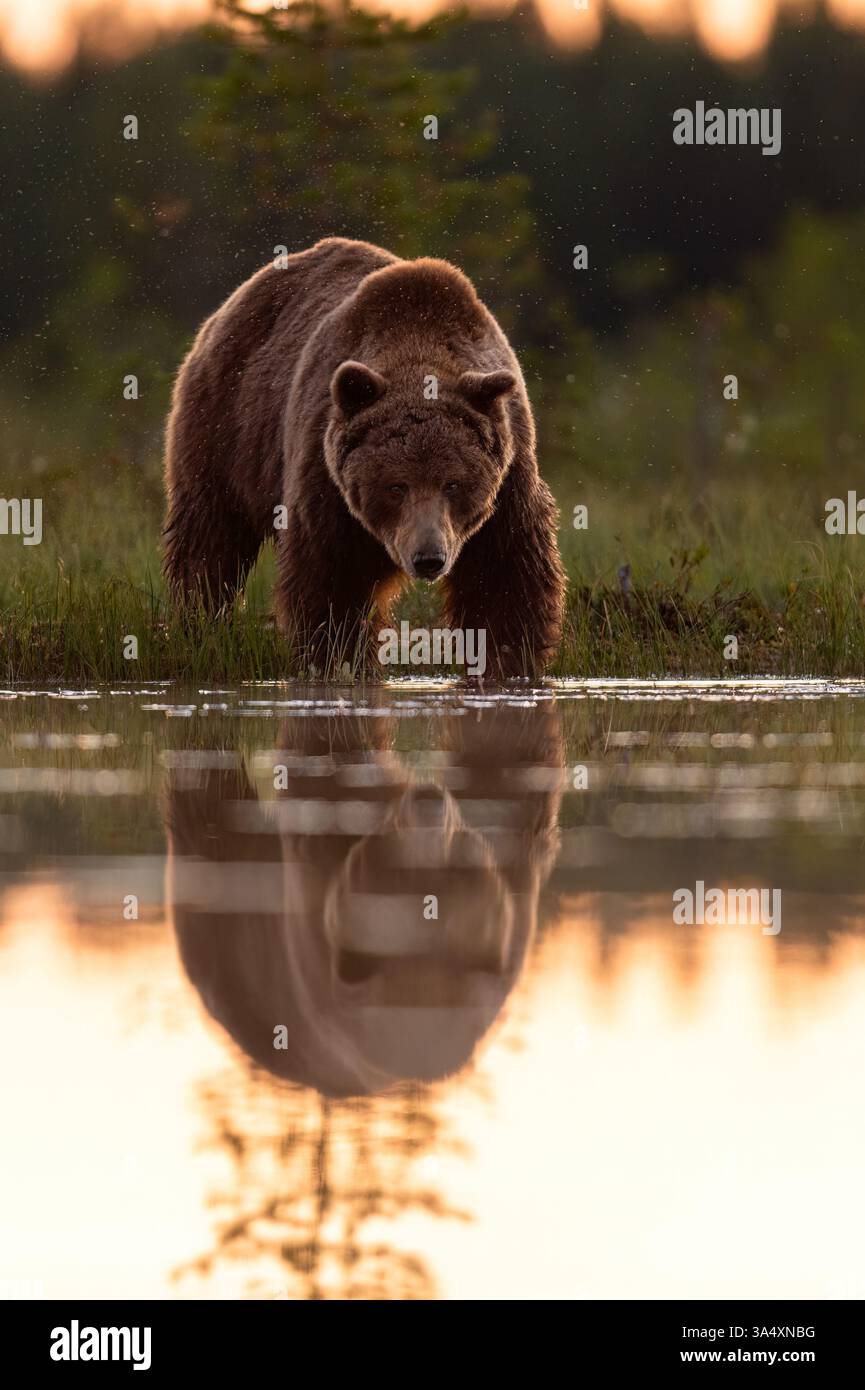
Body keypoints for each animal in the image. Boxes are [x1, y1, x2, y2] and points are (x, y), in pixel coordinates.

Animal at [163, 236, 565, 678]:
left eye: (454, 484)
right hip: (226, 425)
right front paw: (341, 662)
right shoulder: (327, 483)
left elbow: (505, 579)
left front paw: (507, 662)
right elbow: (332, 584)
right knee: (210, 538)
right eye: (396, 486)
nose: (428, 558)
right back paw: (197, 626)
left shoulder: (507, 484)